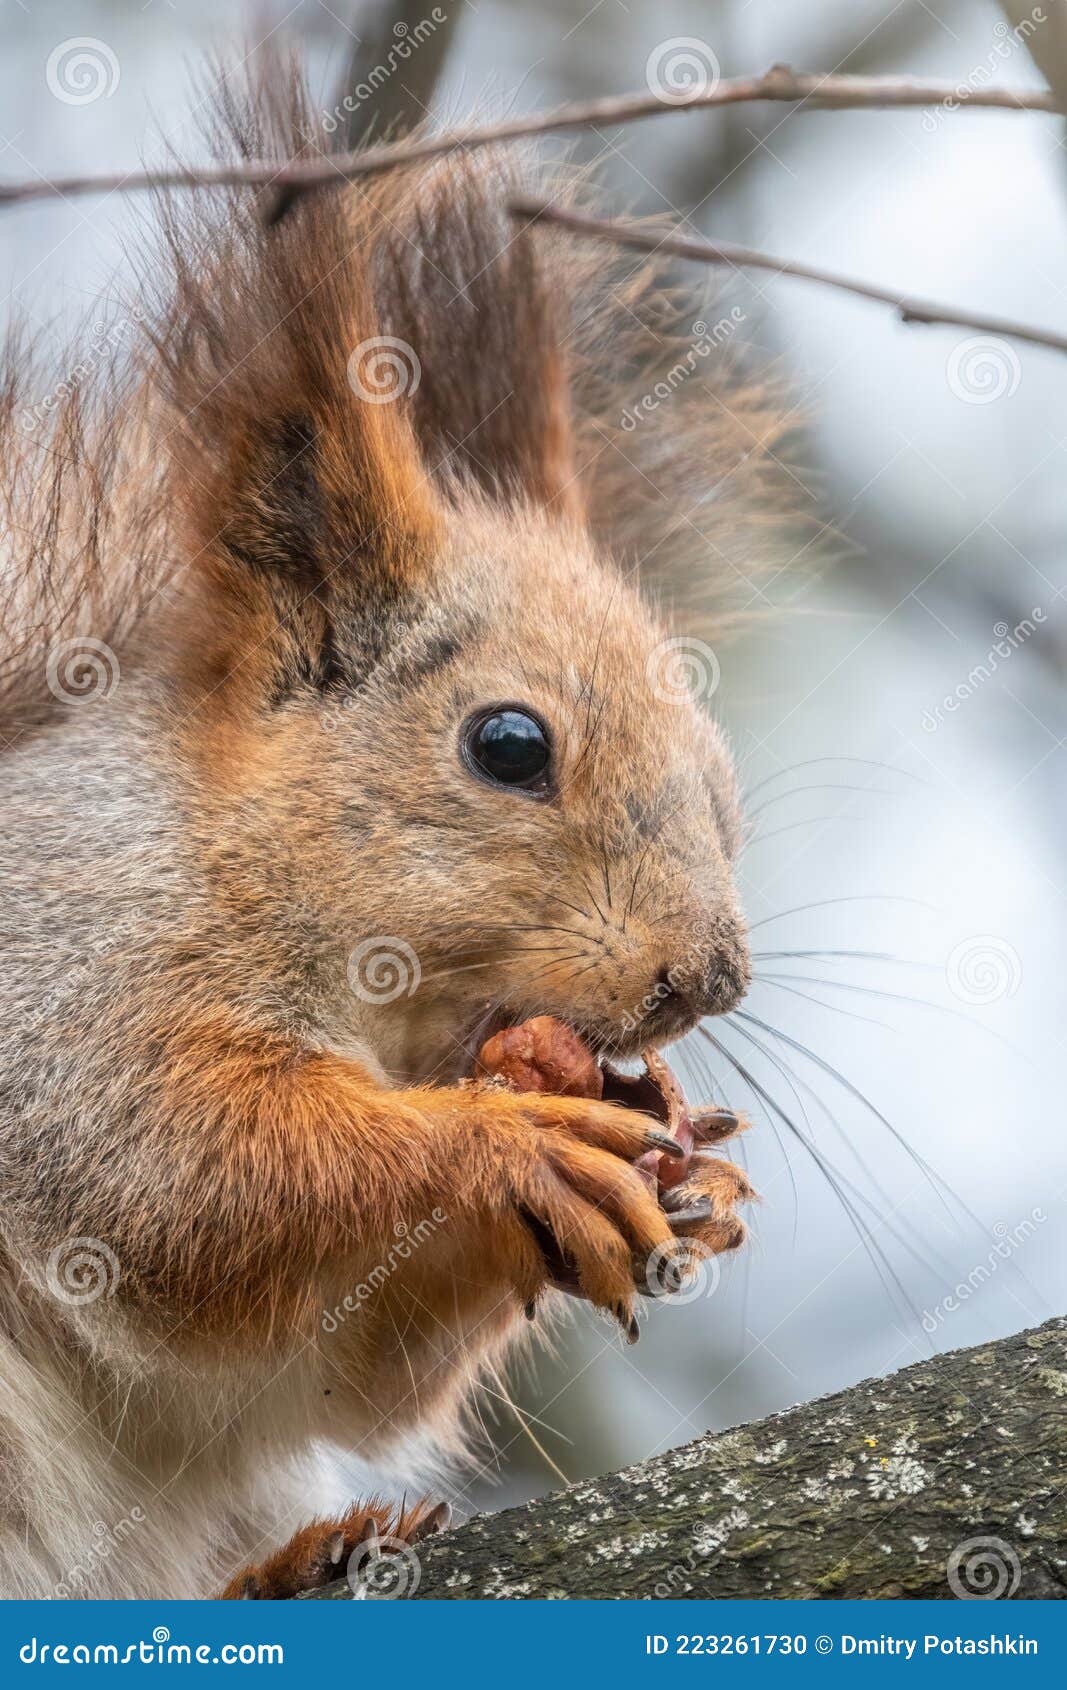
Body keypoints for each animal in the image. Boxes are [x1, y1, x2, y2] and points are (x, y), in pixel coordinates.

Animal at [0, 54, 799, 1599]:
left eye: (725, 783)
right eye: (508, 746)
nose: (705, 979)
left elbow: (341, 1372)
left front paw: (699, 1183)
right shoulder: (68, 978)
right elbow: (171, 1173)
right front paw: (505, 1145)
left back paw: (305, 1557)